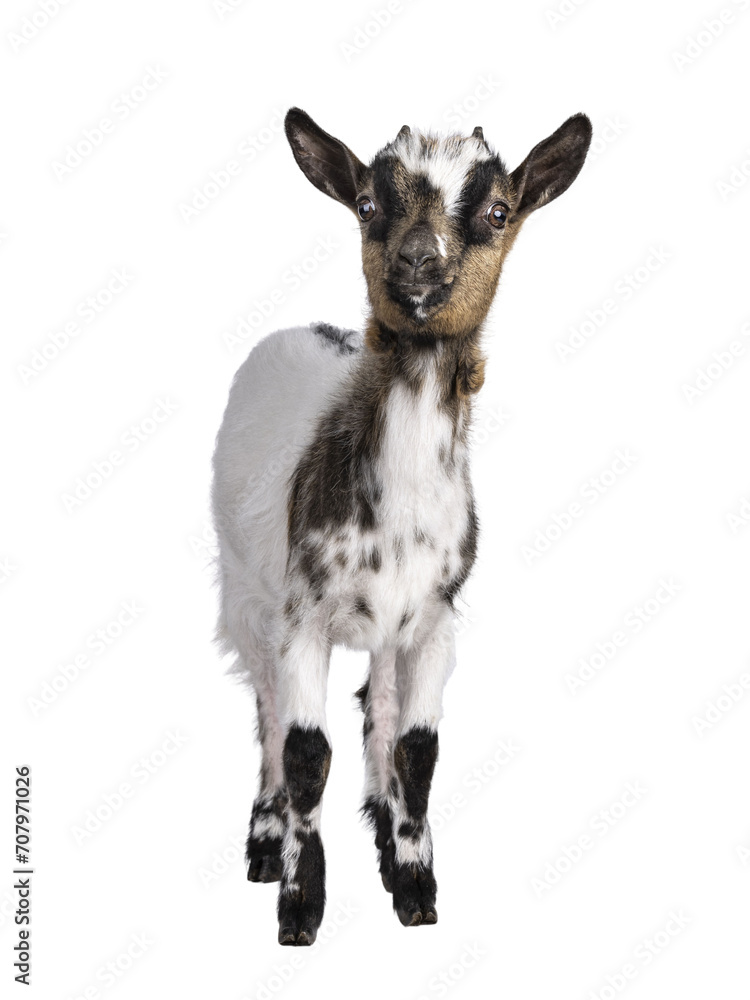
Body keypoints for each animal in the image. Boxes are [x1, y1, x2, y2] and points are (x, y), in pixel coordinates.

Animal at [212, 107, 591, 945]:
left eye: (498, 212)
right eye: (365, 204)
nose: (419, 261)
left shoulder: (435, 618)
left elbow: (417, 750)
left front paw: (416, 885)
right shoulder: (302, 614)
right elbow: (305, 750)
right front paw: (300, 903)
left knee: (378, 714)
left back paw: (384, 836)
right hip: (244, 590)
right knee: (265, 708)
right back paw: (264, 839)